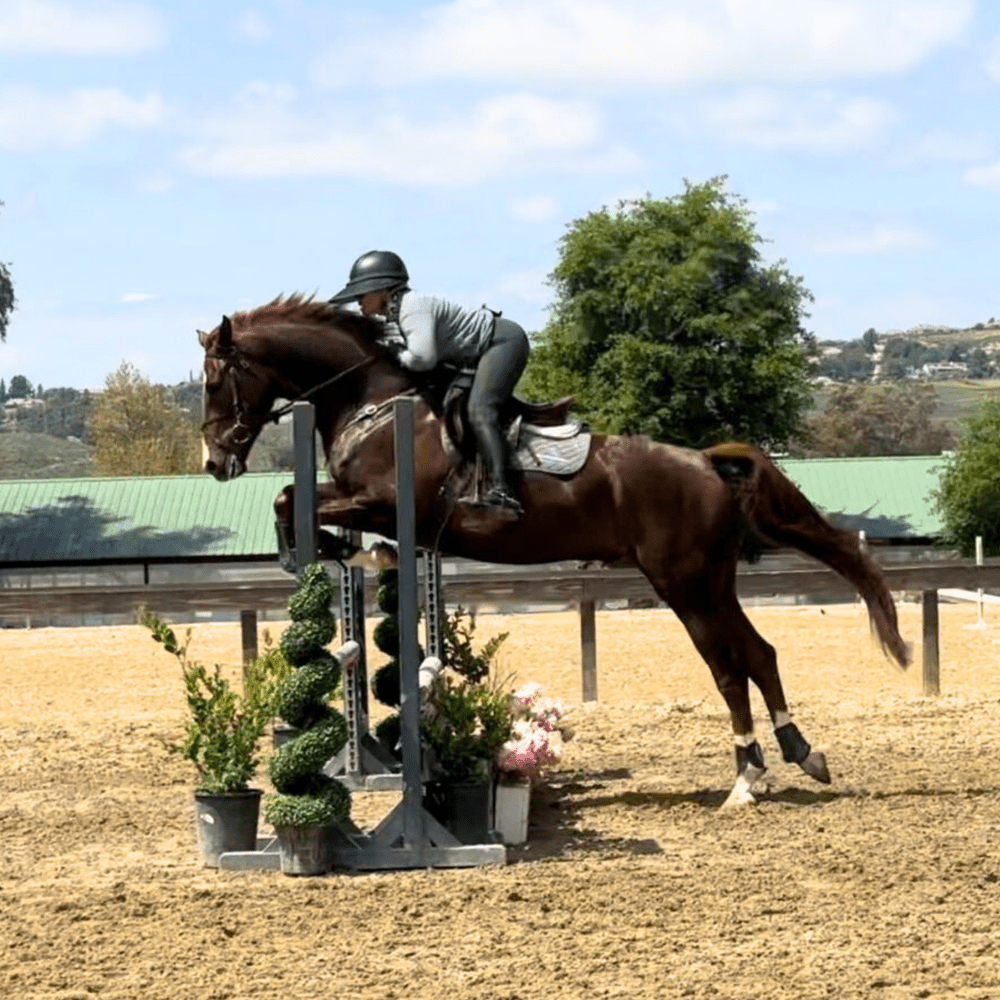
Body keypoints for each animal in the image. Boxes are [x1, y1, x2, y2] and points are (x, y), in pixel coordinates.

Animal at [199, 294, 909, 808]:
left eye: (214, 382)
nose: (214, 462)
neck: (373, 400)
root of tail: (706, 462)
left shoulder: (385, 502)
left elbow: (291, 498)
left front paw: (316, 550)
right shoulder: (365, 503)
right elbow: (294, 495)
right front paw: (333, 552)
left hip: (684, 584)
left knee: (730, 668)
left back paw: (745, 780)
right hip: (710, 581)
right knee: (759, 654)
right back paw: (799, 755)